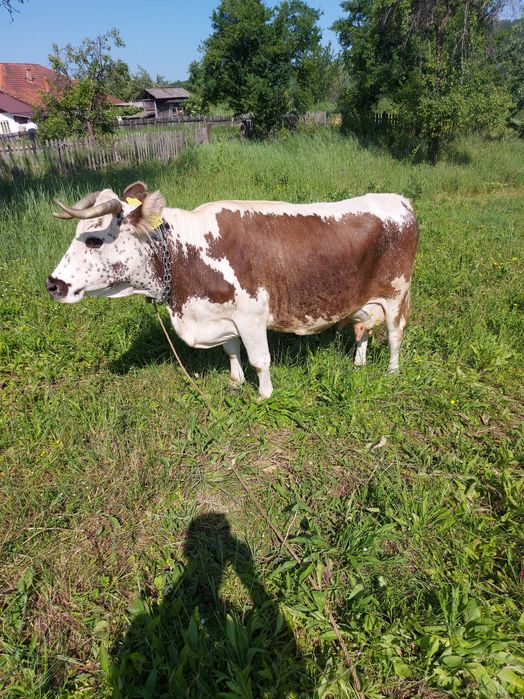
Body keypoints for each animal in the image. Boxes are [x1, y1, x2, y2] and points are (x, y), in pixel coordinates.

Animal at [47, 182, 419, 399]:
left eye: (94, 239)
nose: (53, 283)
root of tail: (399, 199)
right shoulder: (221, 314)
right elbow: (230, 350)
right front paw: (235, 381)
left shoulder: (251, 315)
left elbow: (260, 360)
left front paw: (263, 395)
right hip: (362, 299)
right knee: (362, 327)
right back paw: (359, 362)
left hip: (396, 293)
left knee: (395, 333)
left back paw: (392, 371)